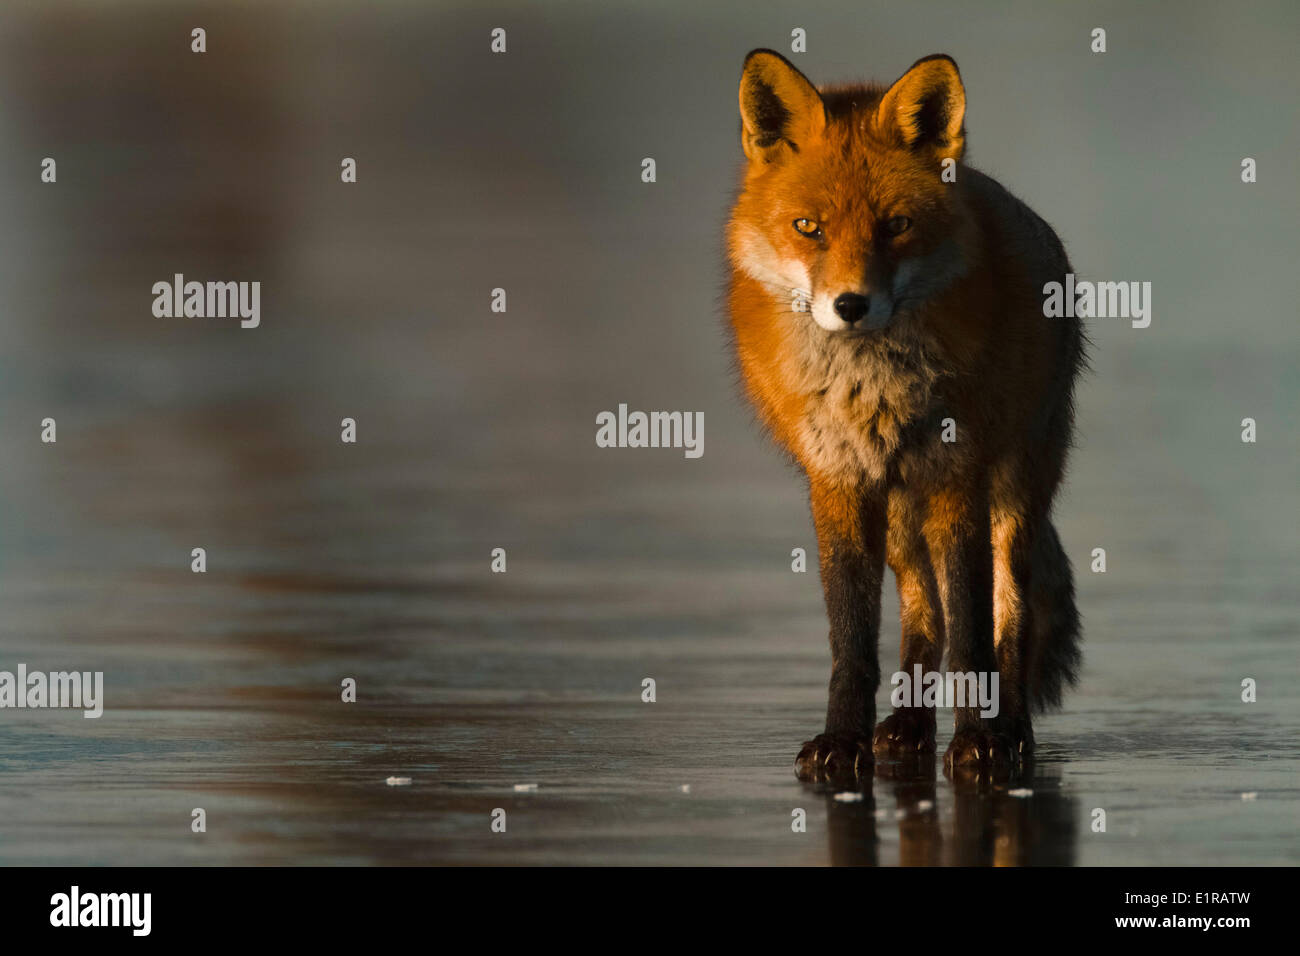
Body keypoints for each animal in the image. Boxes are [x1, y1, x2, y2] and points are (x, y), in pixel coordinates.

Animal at [725, 50, 1084, 779]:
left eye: (895, 227)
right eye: (809, 228)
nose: (851, 305)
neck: (873, 388)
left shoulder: (957, 479)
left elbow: (975, 636)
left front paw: (980, 741)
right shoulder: (838, 483)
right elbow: (854, 642)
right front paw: (841, 740)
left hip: (1013, 495)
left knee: (1010, 618)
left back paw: (1013, 730)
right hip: (897, 516)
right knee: (923, 615)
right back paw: (911, 724)